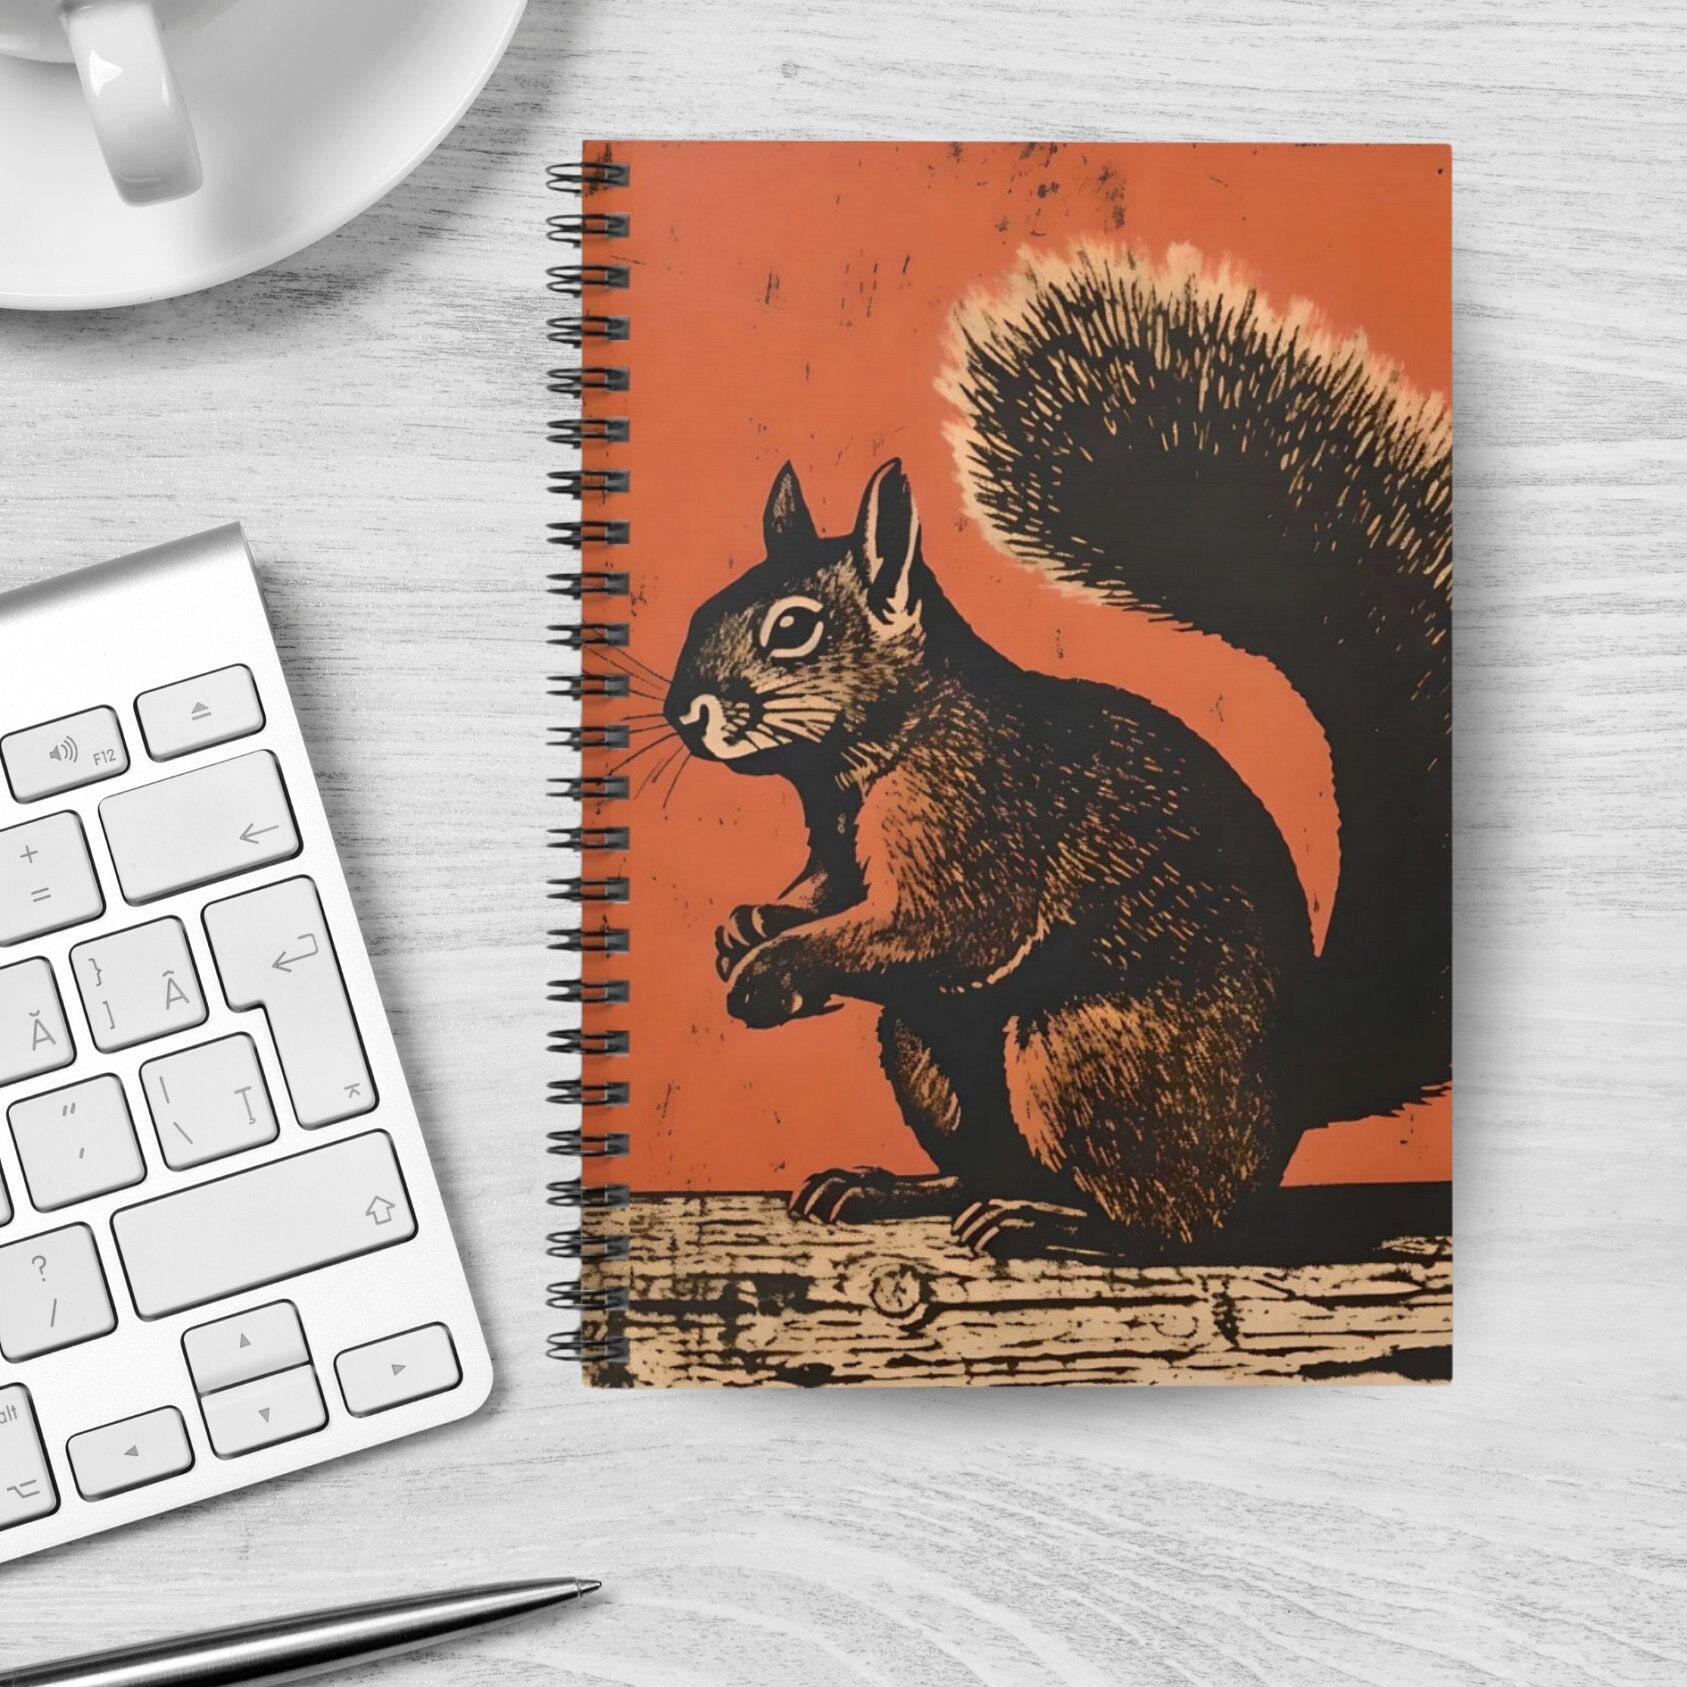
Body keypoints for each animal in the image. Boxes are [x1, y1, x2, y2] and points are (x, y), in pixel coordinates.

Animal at [663, 243, 1450, 1260]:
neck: (875, 750)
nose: (684, 713)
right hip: (929, 1053)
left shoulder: (975, 820)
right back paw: (893, 1186)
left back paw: (1048, 1218)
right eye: (705, 606)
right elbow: (828, 892)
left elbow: (938, 926)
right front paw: (749, 923)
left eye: (792, 628)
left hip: (1082, 1055)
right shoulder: (840, 842)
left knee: (1173, 1225)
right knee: (989, 1158)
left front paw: (774, 966)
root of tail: (1289, 1096)